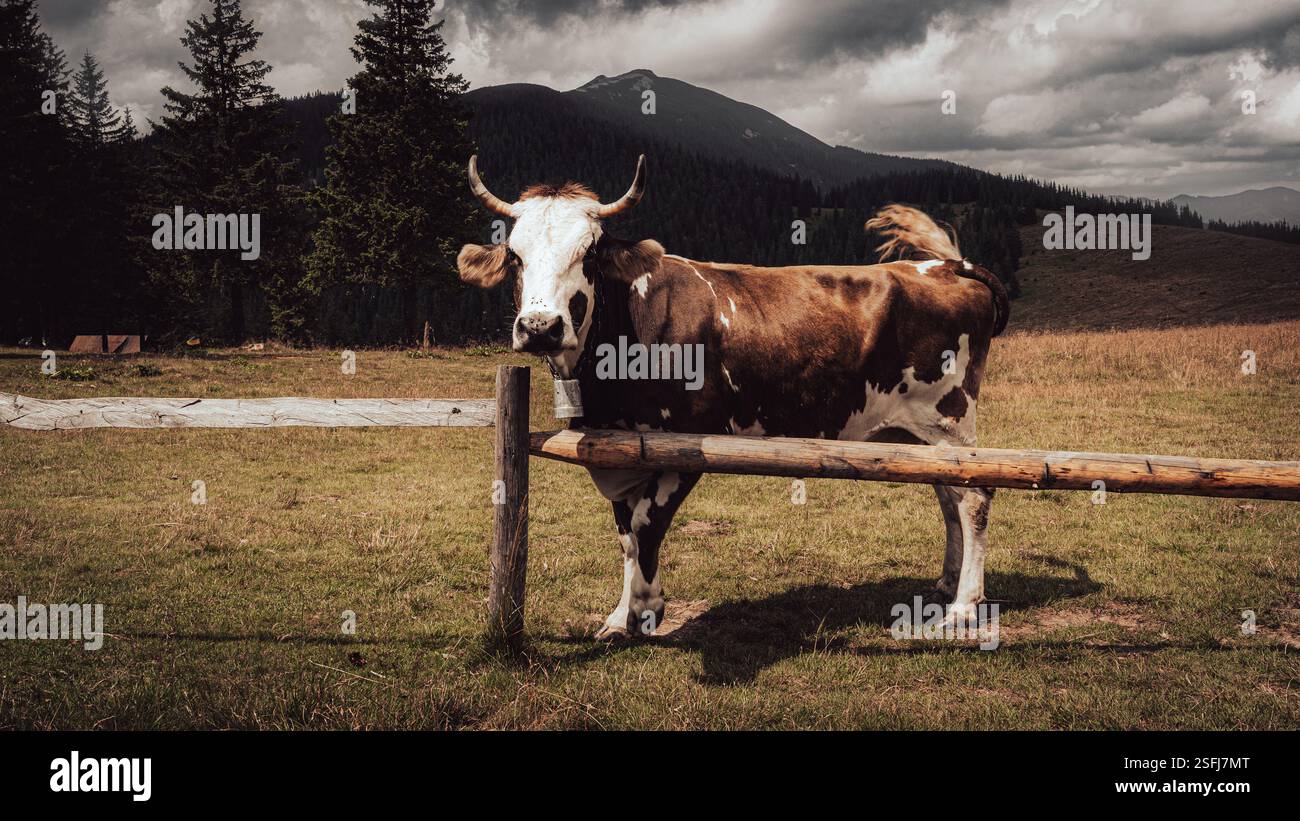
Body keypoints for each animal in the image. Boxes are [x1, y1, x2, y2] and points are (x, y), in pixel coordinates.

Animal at [458, 155, 1009, 640]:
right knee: (948, 494)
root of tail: (944, 265)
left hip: (949, 418)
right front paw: (621, 615)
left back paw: (964, 606)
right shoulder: (622, 451)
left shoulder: (687, 444)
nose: (540, 327)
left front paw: (645, 610)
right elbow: (625, 535)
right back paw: (946, 583)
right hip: (918, 433)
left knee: (974, 496)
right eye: (514, 255)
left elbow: (646, 526)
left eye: (589, 254)